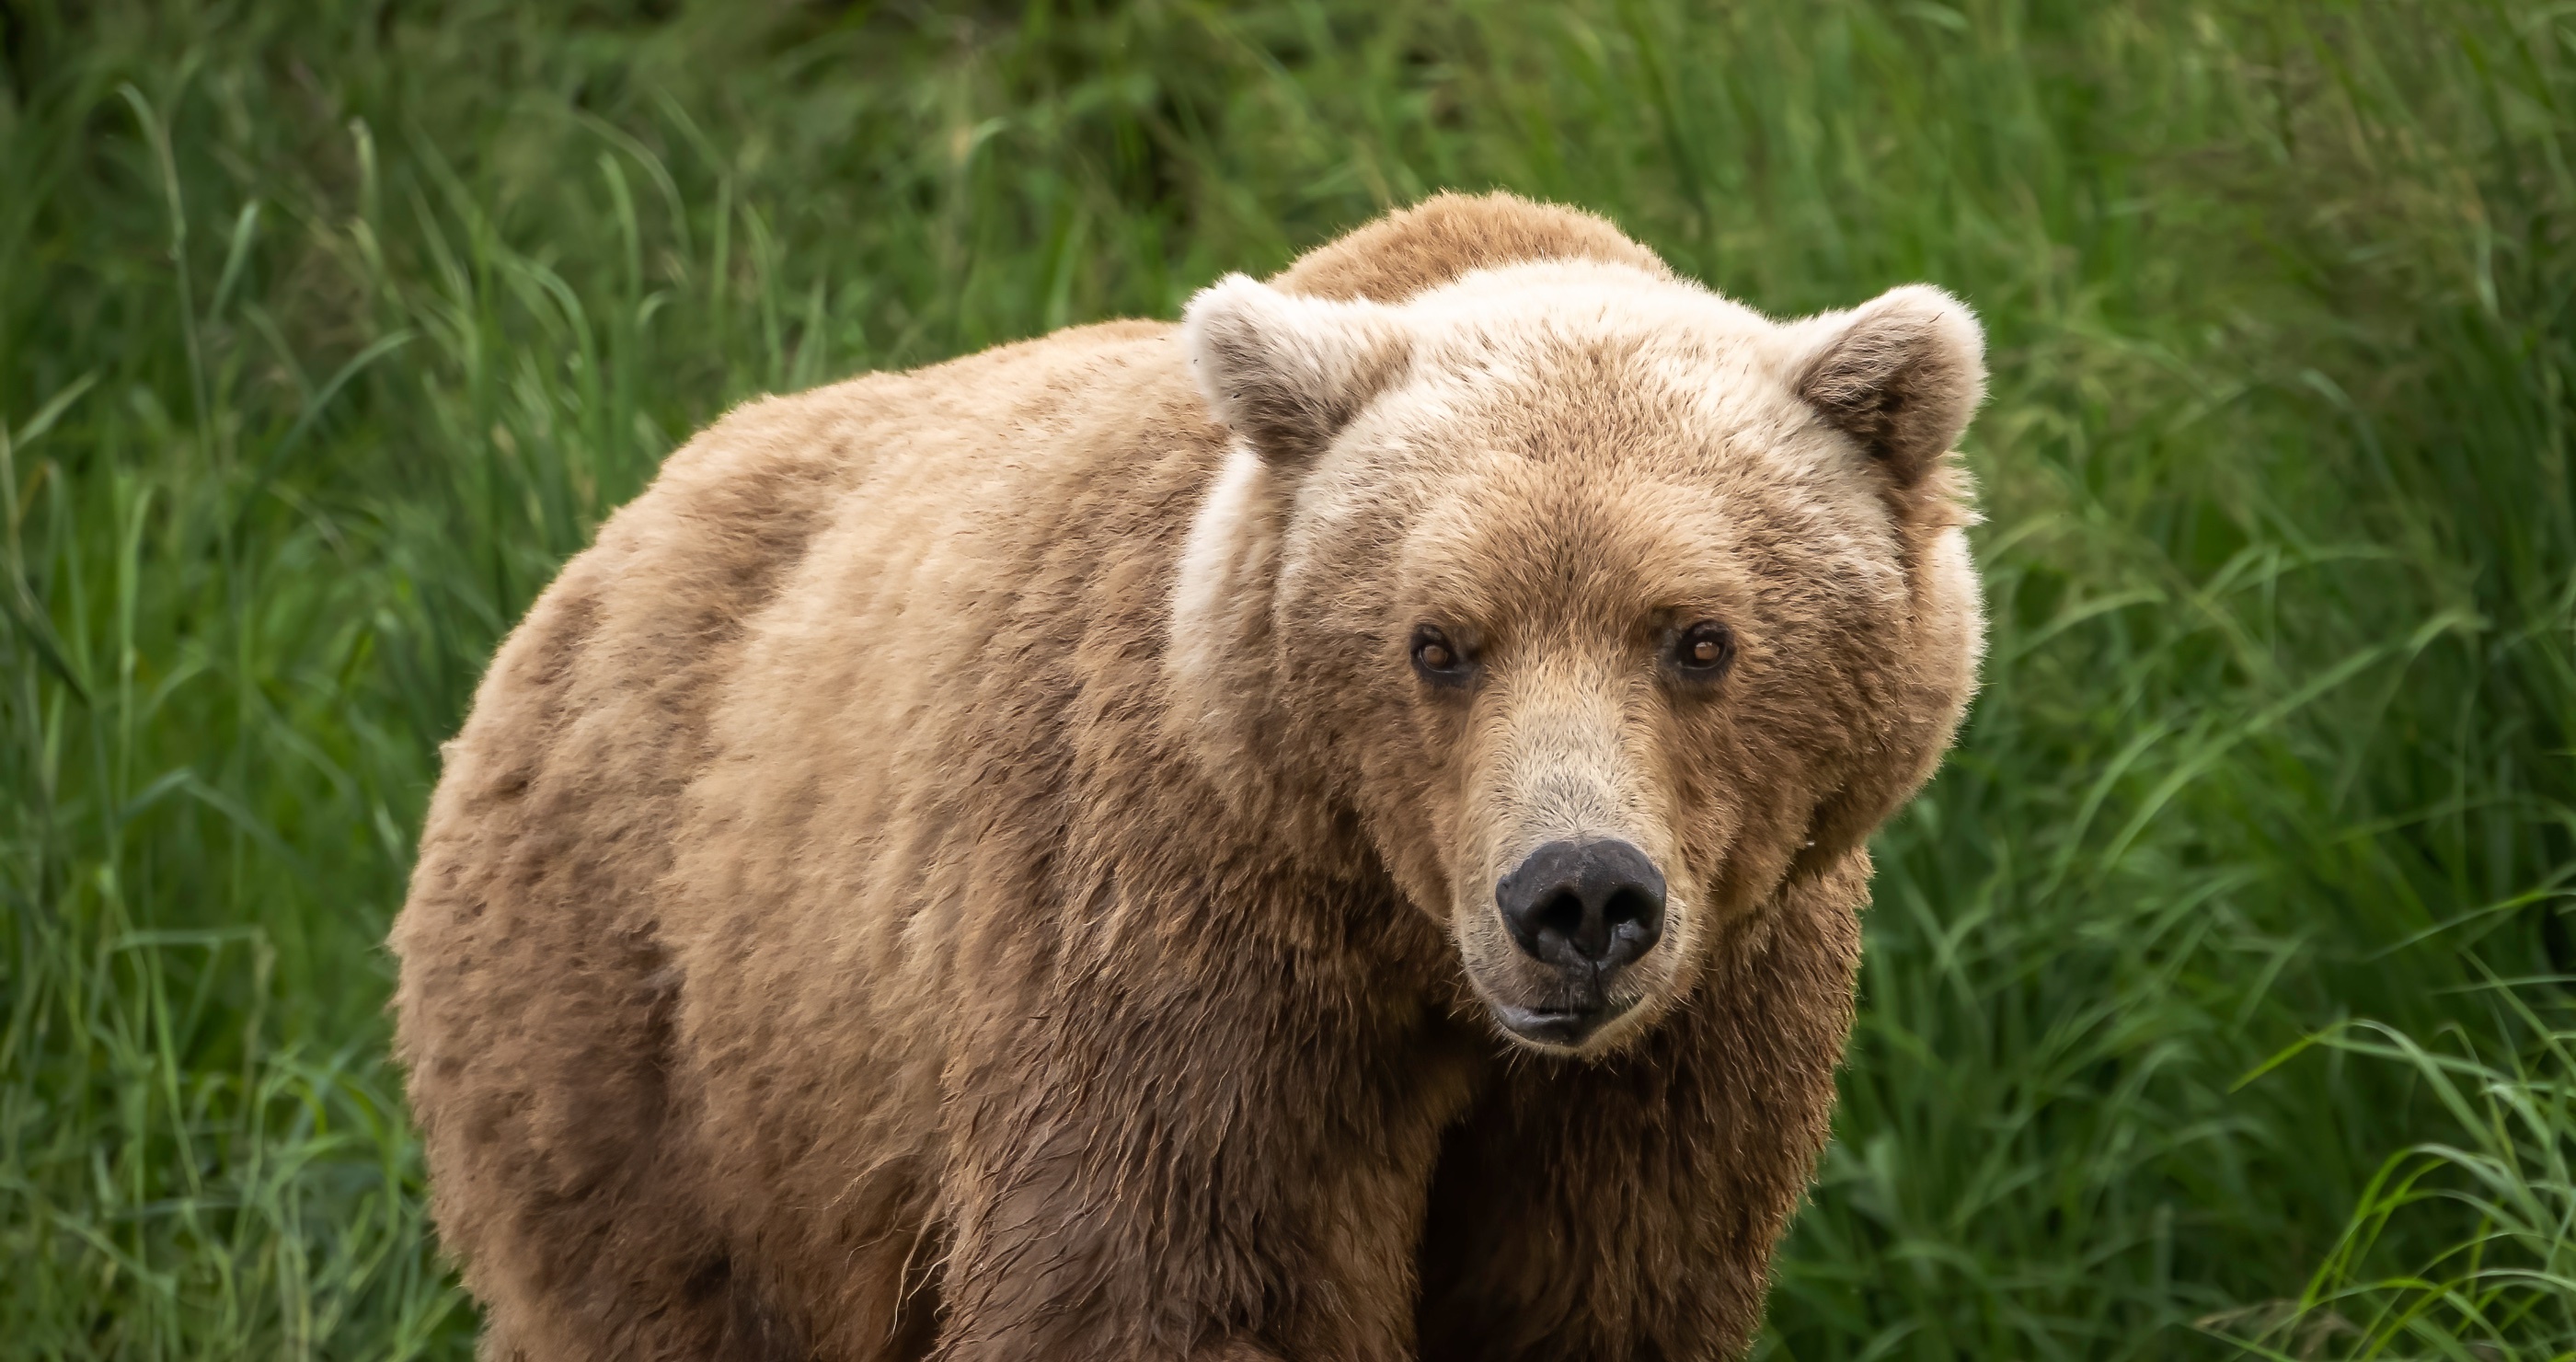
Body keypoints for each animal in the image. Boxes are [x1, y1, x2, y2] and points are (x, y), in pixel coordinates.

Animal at [390, 191, 1986, 1362]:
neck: (1419, 958)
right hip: (657, 1053)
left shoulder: (1697, 1037)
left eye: (1699, 638)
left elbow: (1603, 1292)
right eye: (1438, 642)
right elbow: (1162, 1280)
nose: (1578, 895)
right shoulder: (1184, 941)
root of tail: (604, 547)